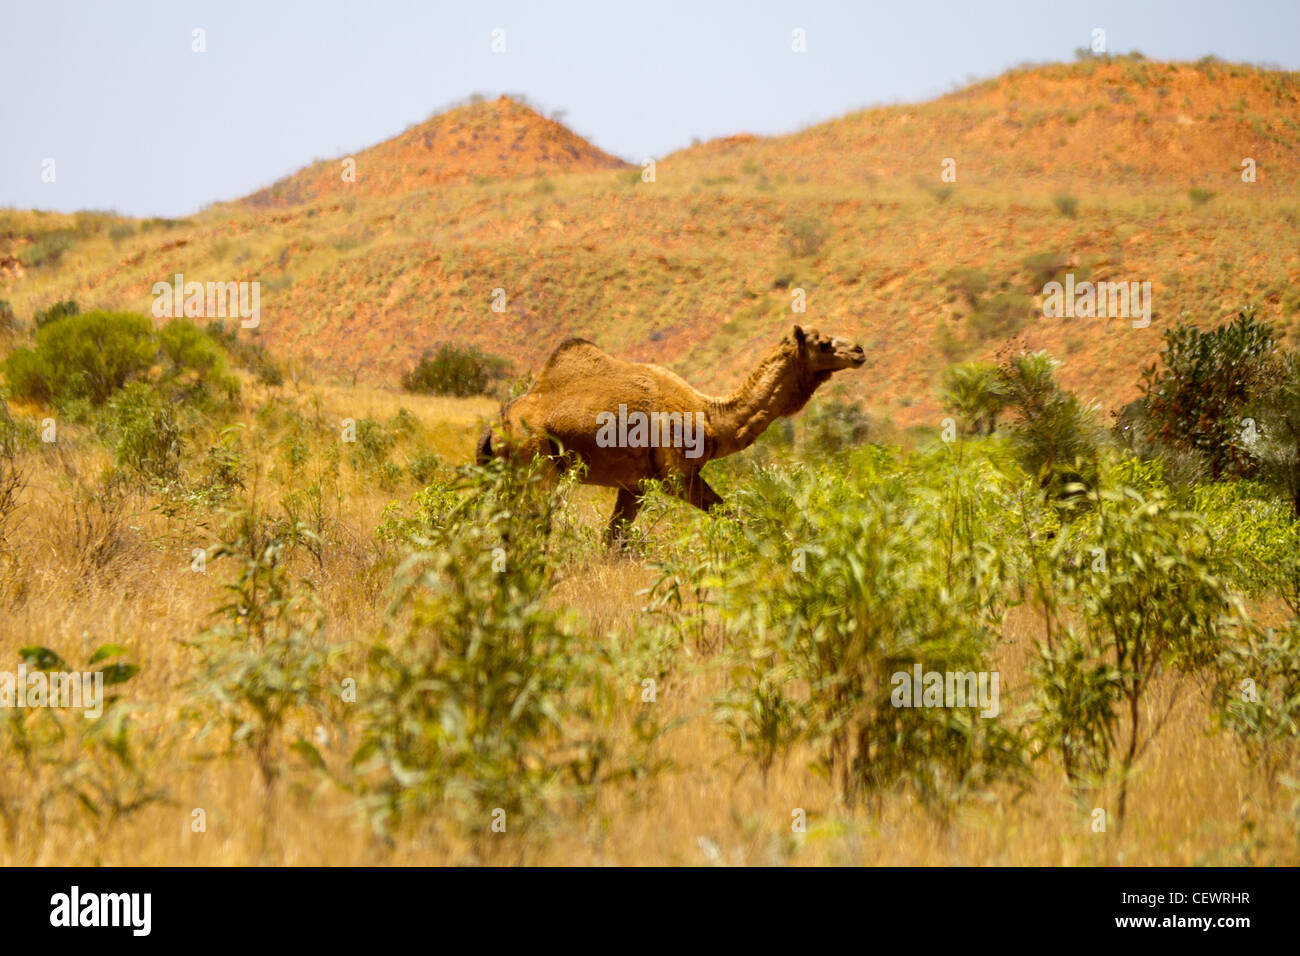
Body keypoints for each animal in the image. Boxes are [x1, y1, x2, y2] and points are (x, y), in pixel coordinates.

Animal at [476, 324, 866, 544]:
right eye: (823, 343)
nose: (860, 350)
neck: (710, 415)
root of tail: (496, 426)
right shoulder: (676, 476)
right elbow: (734, 516)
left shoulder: (634, 484)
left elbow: (613, 540)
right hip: (537, 465)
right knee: (529, 523)